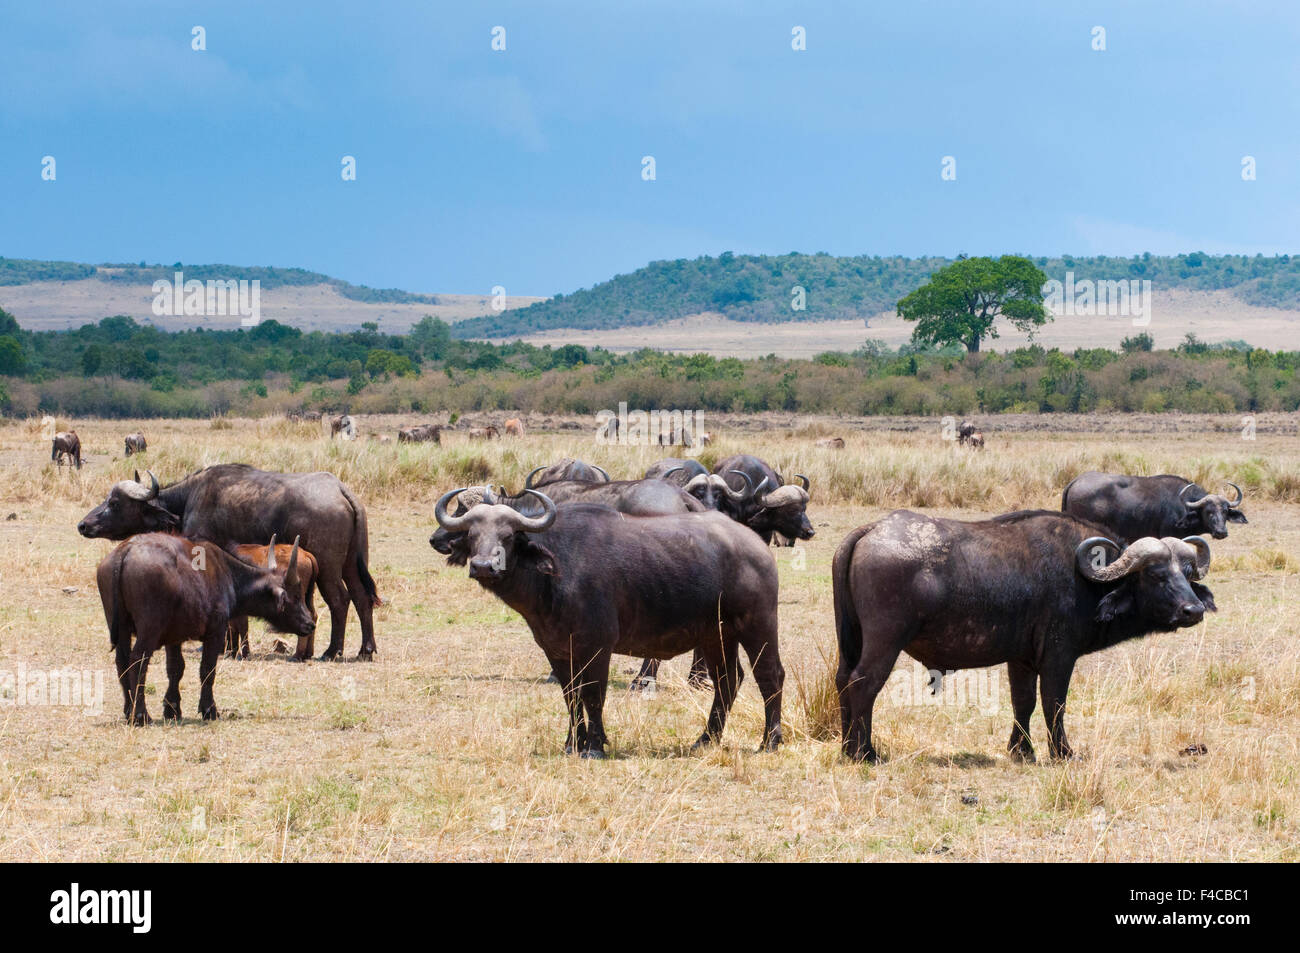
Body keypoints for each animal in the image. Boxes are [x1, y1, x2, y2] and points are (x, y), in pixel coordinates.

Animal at [78, 465, 381, 660]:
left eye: (115, 503)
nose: (83, 525)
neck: (188, 500)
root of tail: (340, 489)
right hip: (351, 566)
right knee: (362, 598)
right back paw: (365, 650)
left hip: (328, 568)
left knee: (340, 601)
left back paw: (332, 651)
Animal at [97, 533, 315, 724]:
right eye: (295, 596)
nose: (310, 624)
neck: (228, 575)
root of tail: (125, 550)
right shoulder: (215, 632)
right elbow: (207, 670)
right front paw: (210, 710)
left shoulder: (174, 639)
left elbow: (175, 669)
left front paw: (172, 709)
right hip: (149, 630)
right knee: (137, 660)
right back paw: (141, 715)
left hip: (121, 628)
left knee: (122, 661)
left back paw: (128, 711)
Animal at [432, 491, 784, 757]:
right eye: (472, 536)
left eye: (507, 536)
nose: (483, 566)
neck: (556, 573)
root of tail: (756, 545)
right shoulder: (555, 650)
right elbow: (571, 696)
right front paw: (572, 743)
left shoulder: (597, 646)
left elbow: (593, 694)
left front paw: (595, 746)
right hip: (716, 636)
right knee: (728, 680)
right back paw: (705, 739)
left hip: (758, 625)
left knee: (770, 676)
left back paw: (769, 741)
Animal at [833, 509, 1215, 762]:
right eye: (1155, 575)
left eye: (1185, 572)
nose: (1193, 610)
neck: (1087, 579)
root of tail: (870, 530)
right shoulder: (1059, 656)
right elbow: (1054, 703)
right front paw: (1062, 752)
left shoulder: (1021, 659)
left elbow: (1023, 702)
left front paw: (1021, 751)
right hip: (885, 642)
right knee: (863, 683)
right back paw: (864, 752)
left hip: (851, 640)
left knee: (841, 680)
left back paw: (846, 747)